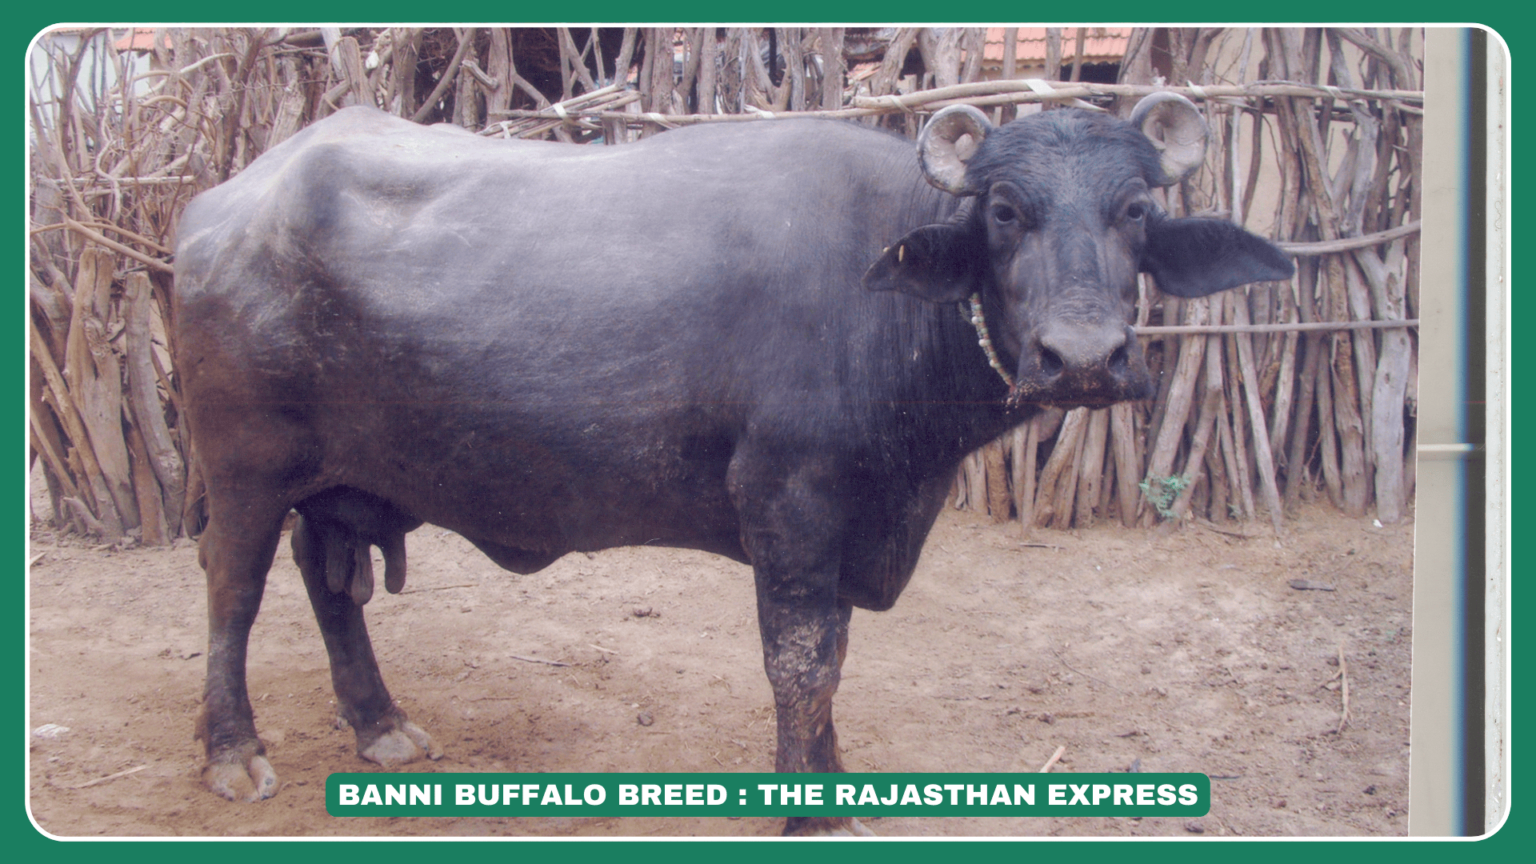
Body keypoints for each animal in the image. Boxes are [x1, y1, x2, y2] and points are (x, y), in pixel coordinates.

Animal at [173, 94, 1292, 835]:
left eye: (1136, 210)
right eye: (1006, 211)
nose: (1084, 357)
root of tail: (225, 206)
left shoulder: (851, 519)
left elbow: (831, 659)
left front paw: (835, 782)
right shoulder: (790, 501)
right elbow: (798, 660)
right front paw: (811, 813)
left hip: (340, 483)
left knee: (331, 589)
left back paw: (382, 728)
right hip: (245, 466)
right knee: (233, 586)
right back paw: (232, 752)